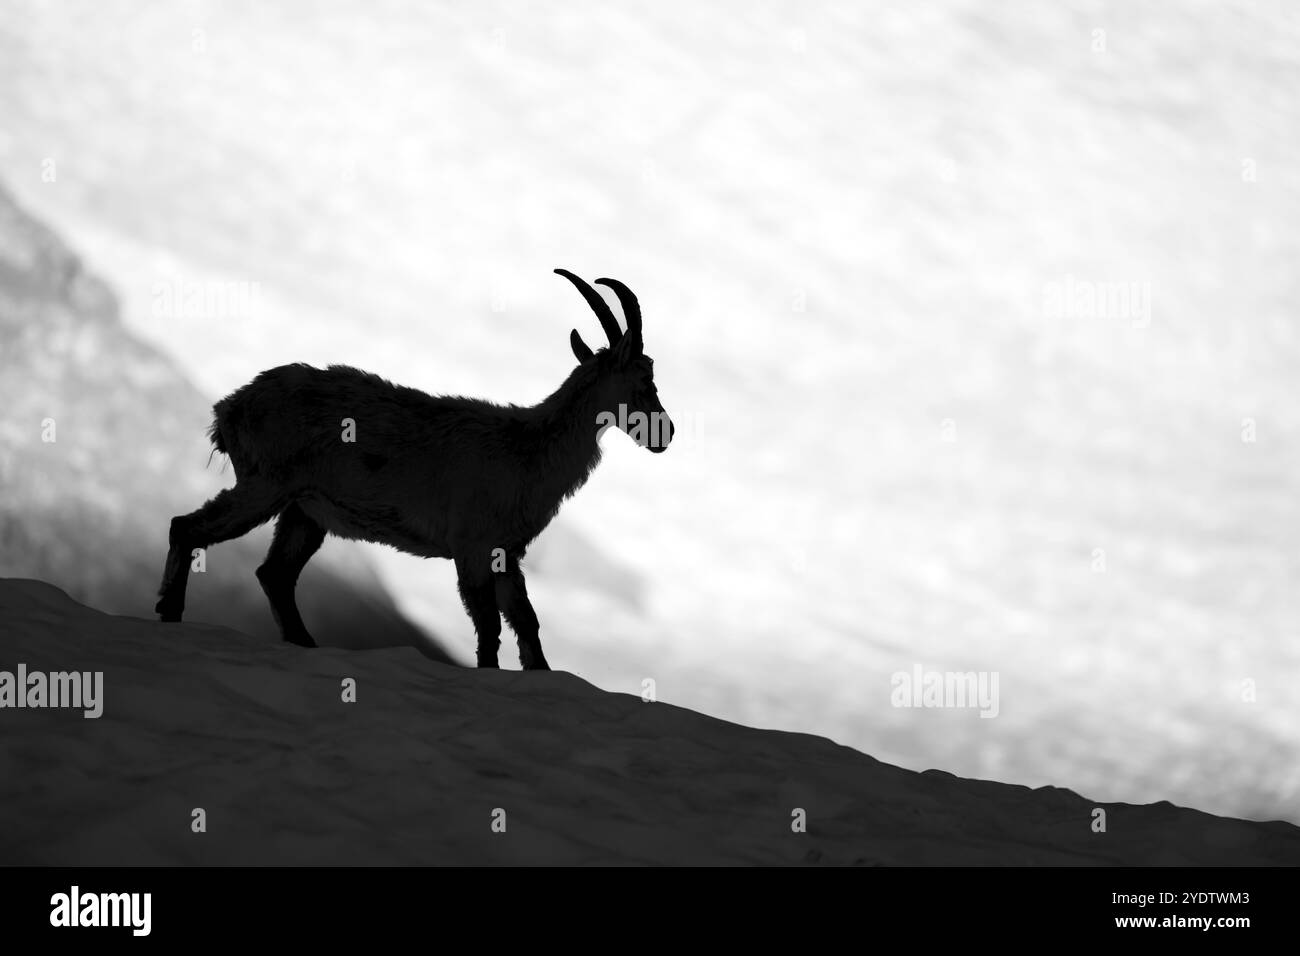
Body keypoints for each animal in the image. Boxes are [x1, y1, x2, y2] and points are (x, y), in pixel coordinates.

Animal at [155, 269, 673, 670]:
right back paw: (169, 615)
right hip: (265, 484)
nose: (664, 434)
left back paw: (305, 644)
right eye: (645, 379)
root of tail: (231, 407)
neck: (528, 449)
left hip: (305, 510)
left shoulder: (507, 552)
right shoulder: (471, 546)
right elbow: (488, 626)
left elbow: (526, 621)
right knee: (187, 527)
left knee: (274, 574)